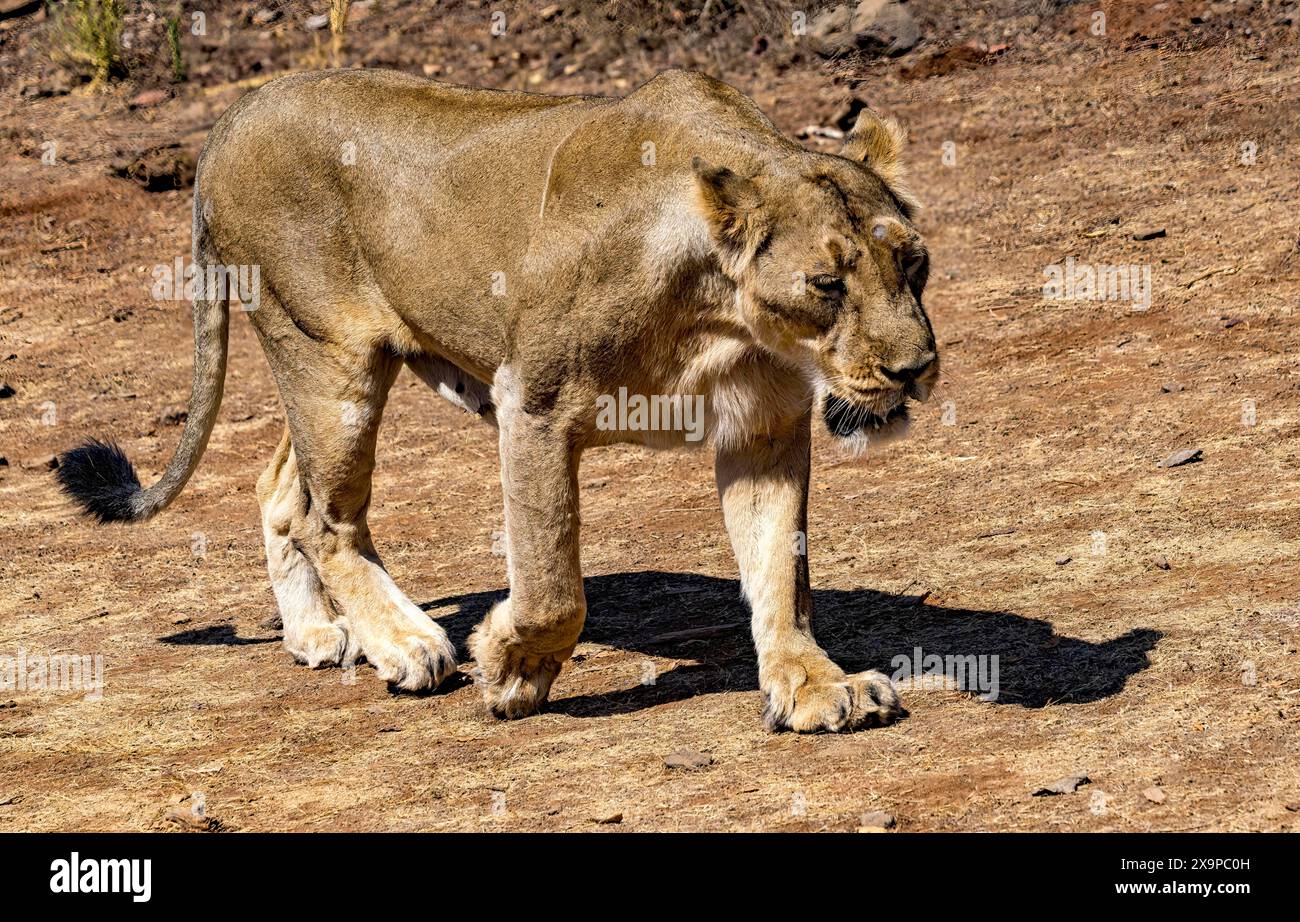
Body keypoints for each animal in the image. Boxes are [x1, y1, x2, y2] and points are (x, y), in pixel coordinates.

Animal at [58, 69, 938, 732]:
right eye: (826, 284)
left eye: (915, 263)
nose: (916, 368)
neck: (723, 312)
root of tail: (239, 110)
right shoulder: (535, 404)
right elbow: (552, 584)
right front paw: (510, 667)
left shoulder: (763, 426)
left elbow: (781, 568)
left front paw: (814, 686)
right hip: (328, 358)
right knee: (325, 518)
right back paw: (407, 645)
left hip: (329, 361)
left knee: (279, 485)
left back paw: (316, 633)